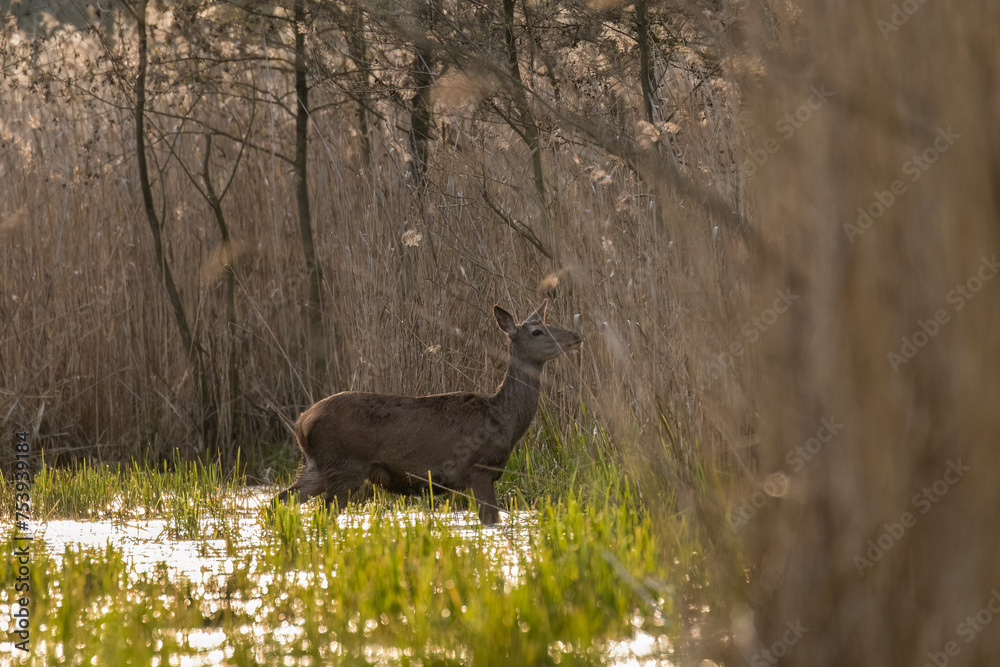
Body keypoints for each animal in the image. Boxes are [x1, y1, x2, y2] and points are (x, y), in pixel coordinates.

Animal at [275, 300, 582, 525]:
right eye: (537, 332)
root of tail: (302, 422)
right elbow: (490, 520)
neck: (505, 419)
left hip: (317, 465)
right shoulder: (479, 468)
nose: (576, 336)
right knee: (322, 512)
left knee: (280, 500)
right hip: (344, 466)